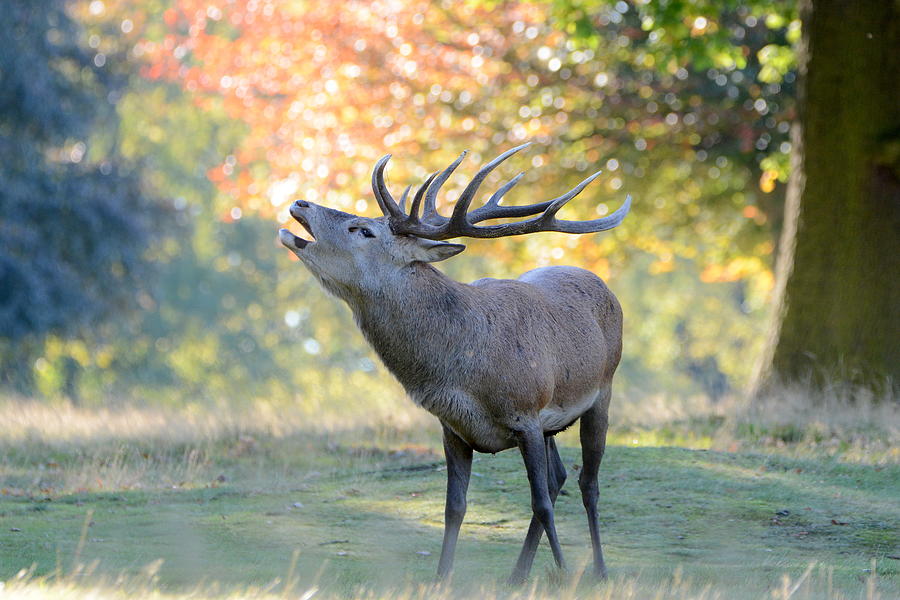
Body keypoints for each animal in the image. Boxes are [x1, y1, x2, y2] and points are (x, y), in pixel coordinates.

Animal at [278, 143, 630, 584]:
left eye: (363, 230)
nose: (300, 202)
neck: (461, 369)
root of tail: (602, 284)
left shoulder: (526, 413)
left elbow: (541, 503)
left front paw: (564, 572)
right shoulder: (453, 427)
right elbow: (455, 507)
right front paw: (441, 578)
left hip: (603, 392)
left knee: (586, 483)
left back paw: (598, 570)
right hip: (554, 424)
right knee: (559, 477)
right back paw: (517, 575)